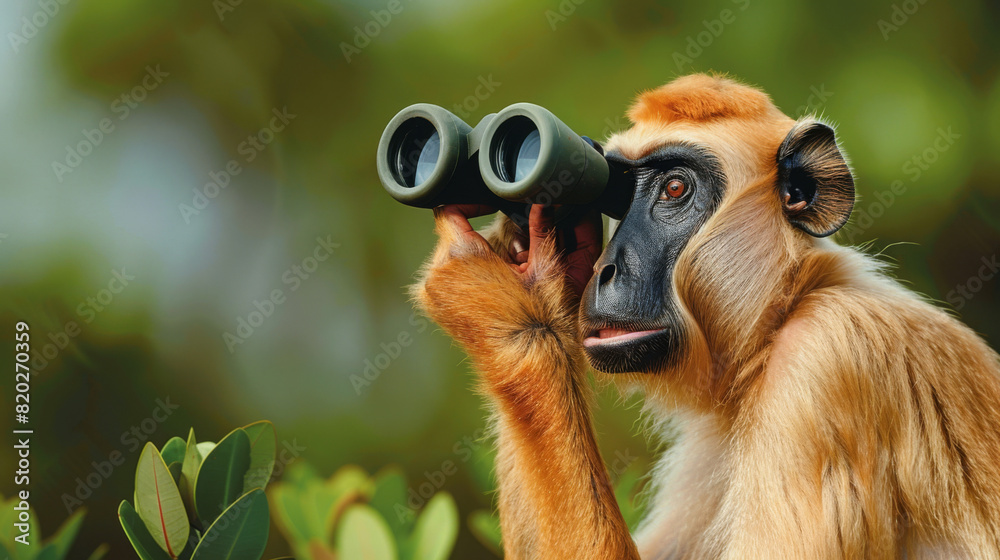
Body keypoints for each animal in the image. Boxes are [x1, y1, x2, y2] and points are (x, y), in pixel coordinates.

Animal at [411, 73, 1000, 559]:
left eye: (675, 189)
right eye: (616, 200)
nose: (605, 268)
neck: (781, 316)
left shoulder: (826, 359)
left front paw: (505, 311)